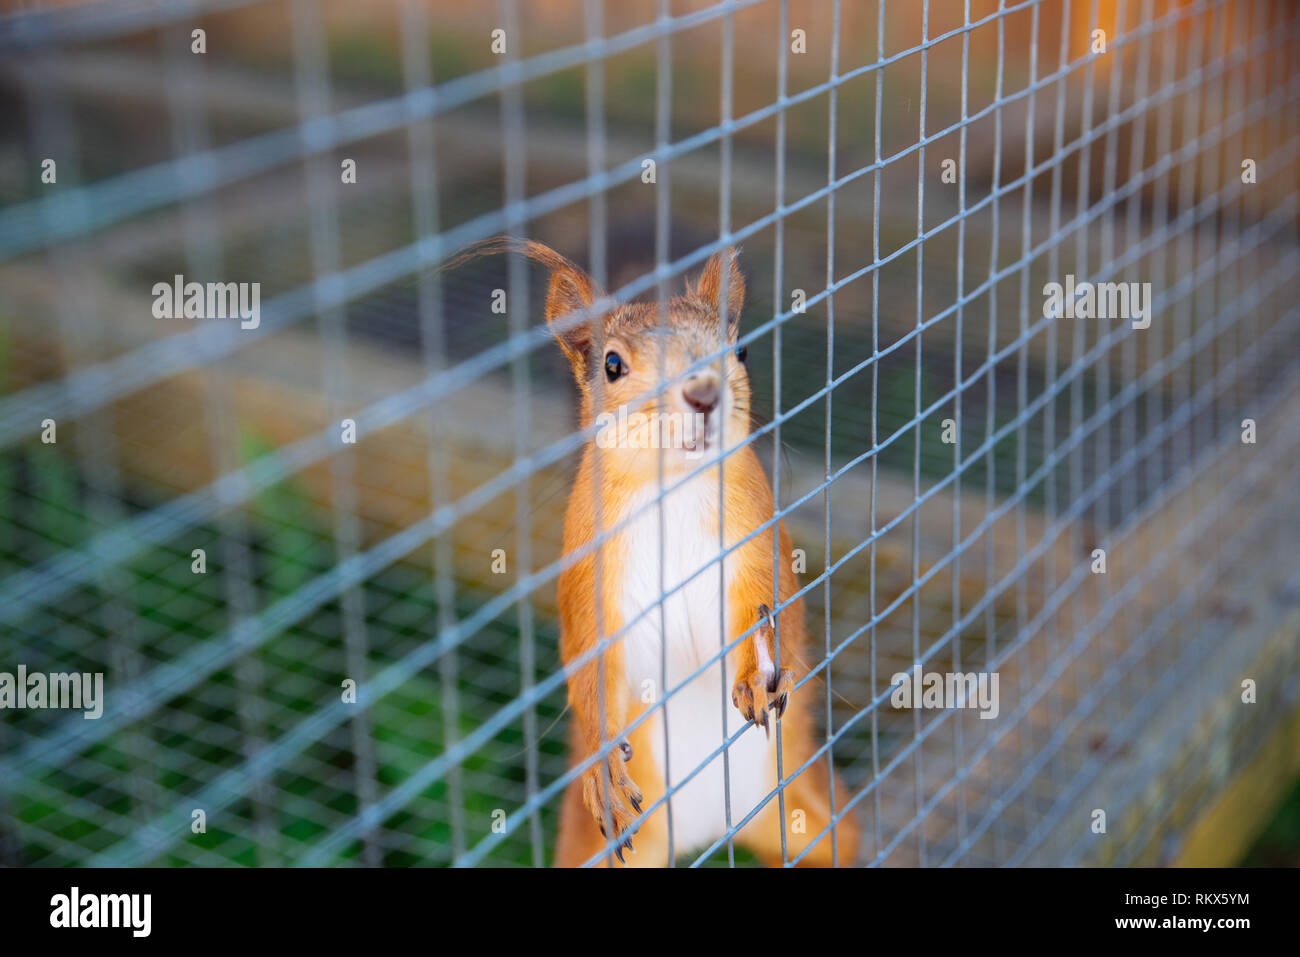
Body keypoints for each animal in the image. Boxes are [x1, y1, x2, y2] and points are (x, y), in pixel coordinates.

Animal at [449, 238, 859, 867]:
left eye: (739, 349)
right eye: (612, 365)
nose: (704, 394)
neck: (675, 487)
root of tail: (718, 829)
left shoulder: (760, 541)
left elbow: (777, 611)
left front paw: (761, 672)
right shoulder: (589, 575)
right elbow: (588, 667)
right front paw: (603, 772)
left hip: (814, 814)